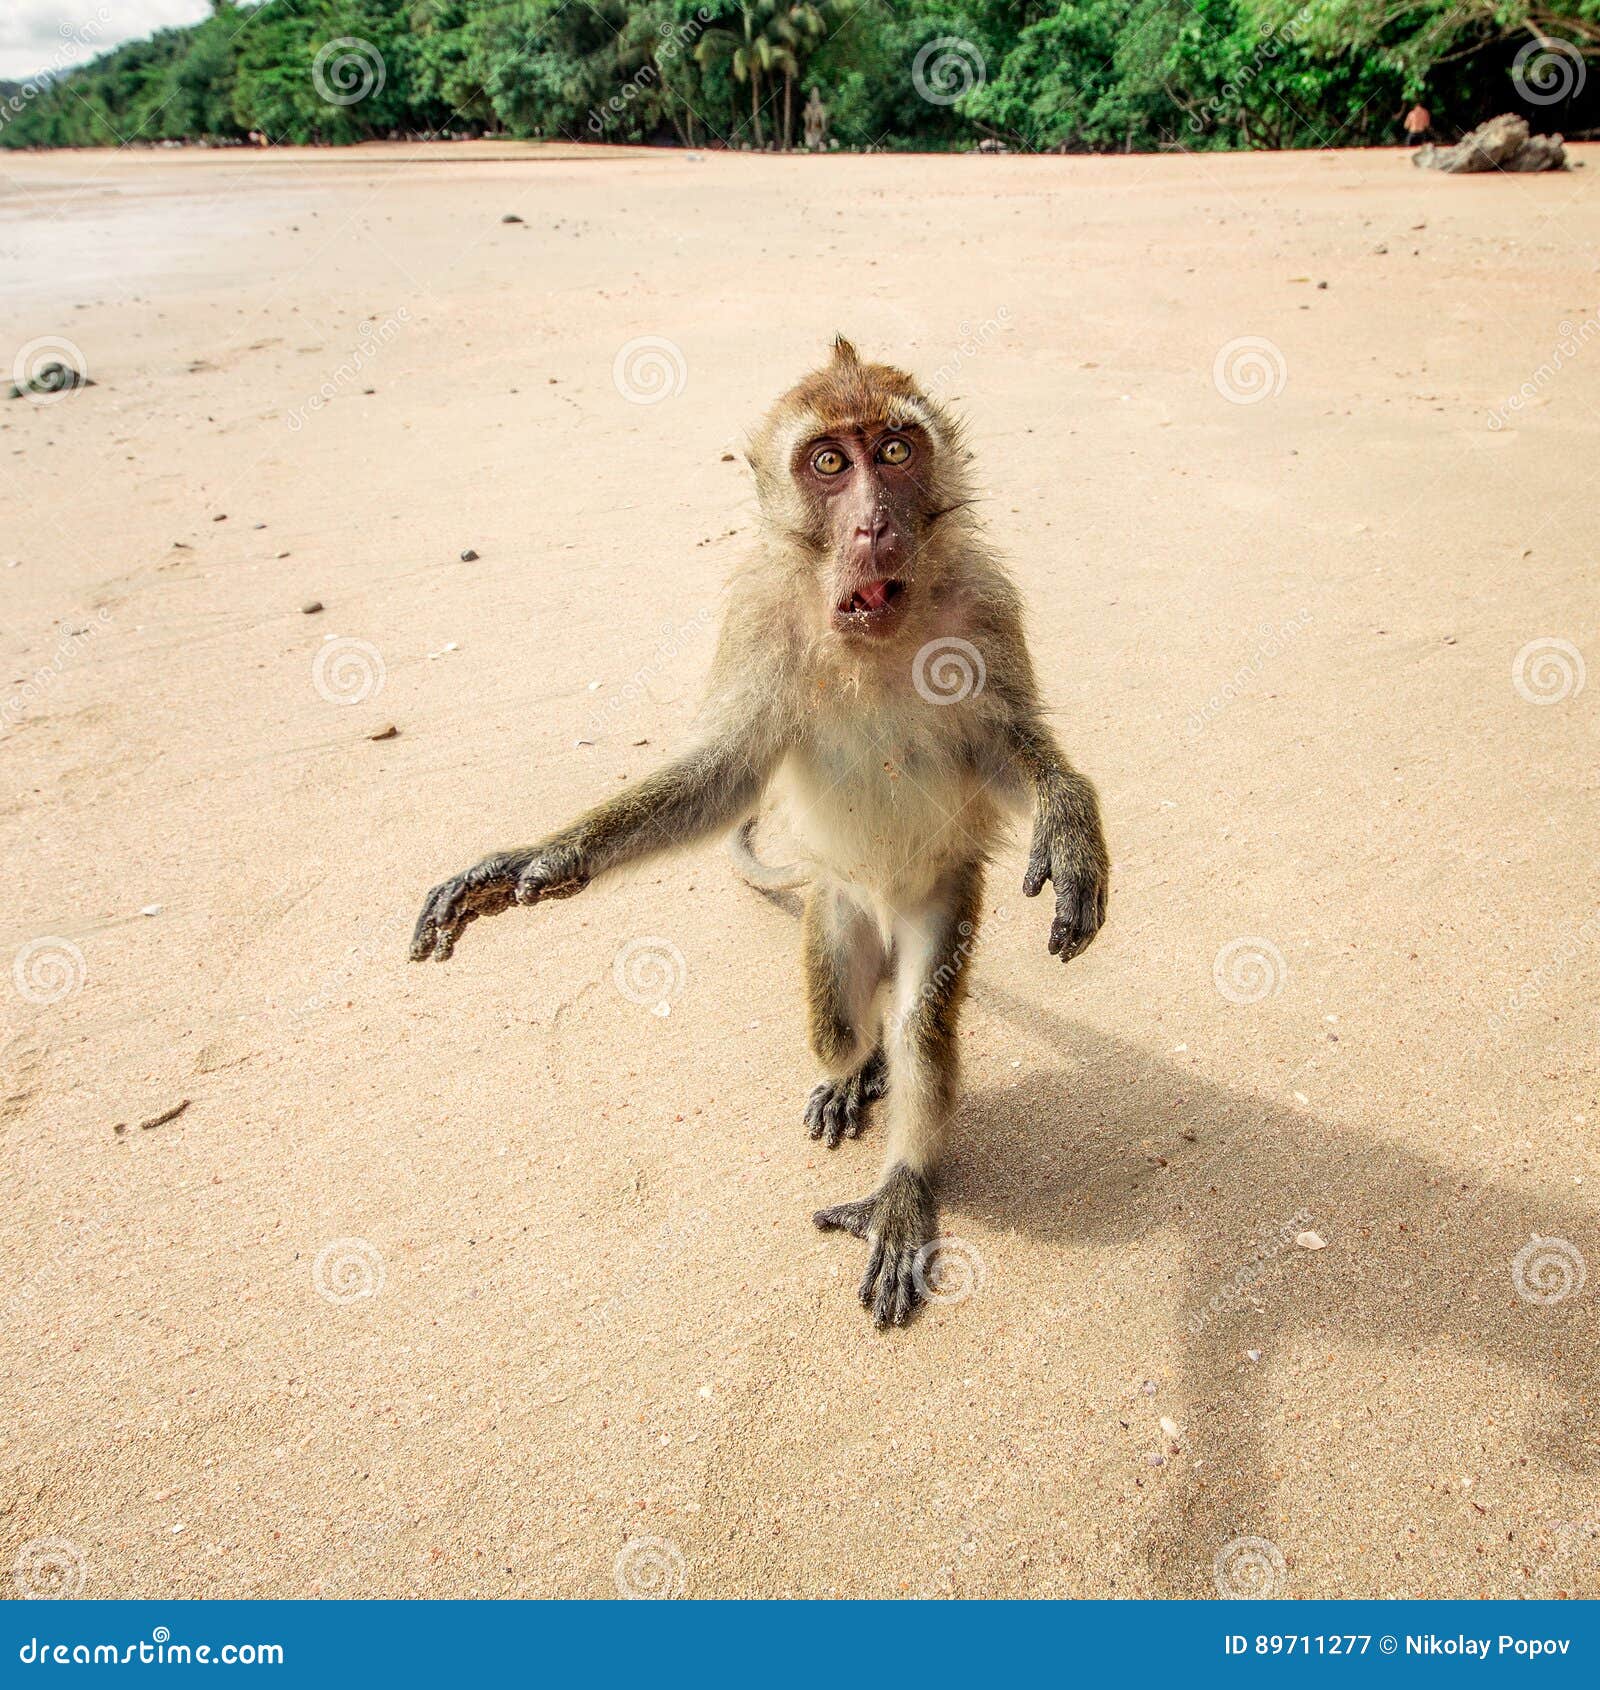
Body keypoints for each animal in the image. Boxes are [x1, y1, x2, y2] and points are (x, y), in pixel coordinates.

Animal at [409, 337, 1109, 1327]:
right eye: (830, 464)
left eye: (896, 451)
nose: (873, 529)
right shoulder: (754, 619)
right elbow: (725, 770)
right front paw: (545, 856)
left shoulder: (984, 606)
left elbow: (1005, 752)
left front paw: (1069, 812)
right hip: (833, 908)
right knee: (837, 1016)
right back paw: (858, 1066)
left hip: (940, 895)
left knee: (919, 1022)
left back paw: (904, 1178)